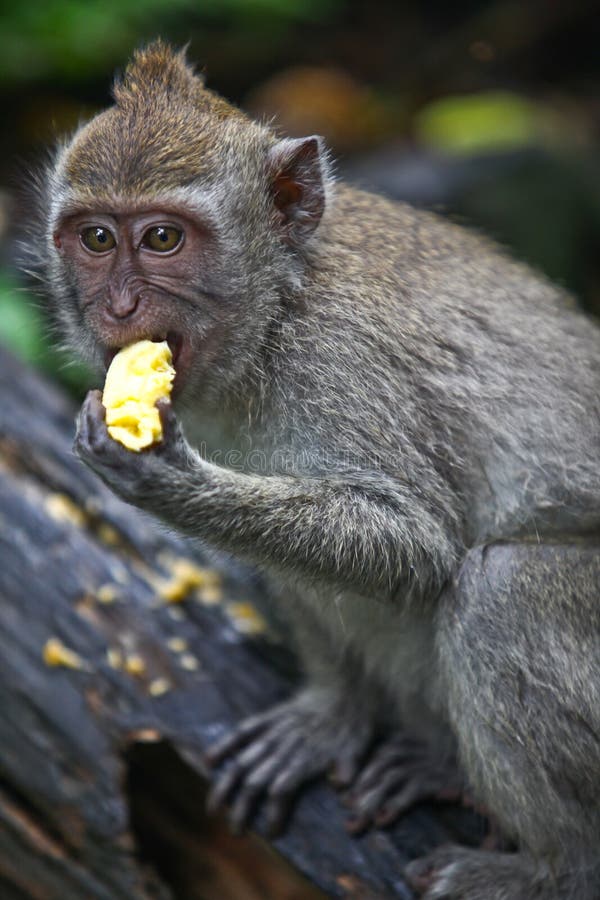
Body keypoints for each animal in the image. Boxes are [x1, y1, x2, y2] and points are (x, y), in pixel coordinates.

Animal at [34, 41, 599, 899]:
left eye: (162, 240)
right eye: (97, 239)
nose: (120, 308)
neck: (275, 309)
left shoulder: (337, 357)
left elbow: (415, 544)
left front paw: (172, 485)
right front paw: (331, 716)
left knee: (502, 590)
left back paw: (555, 868)